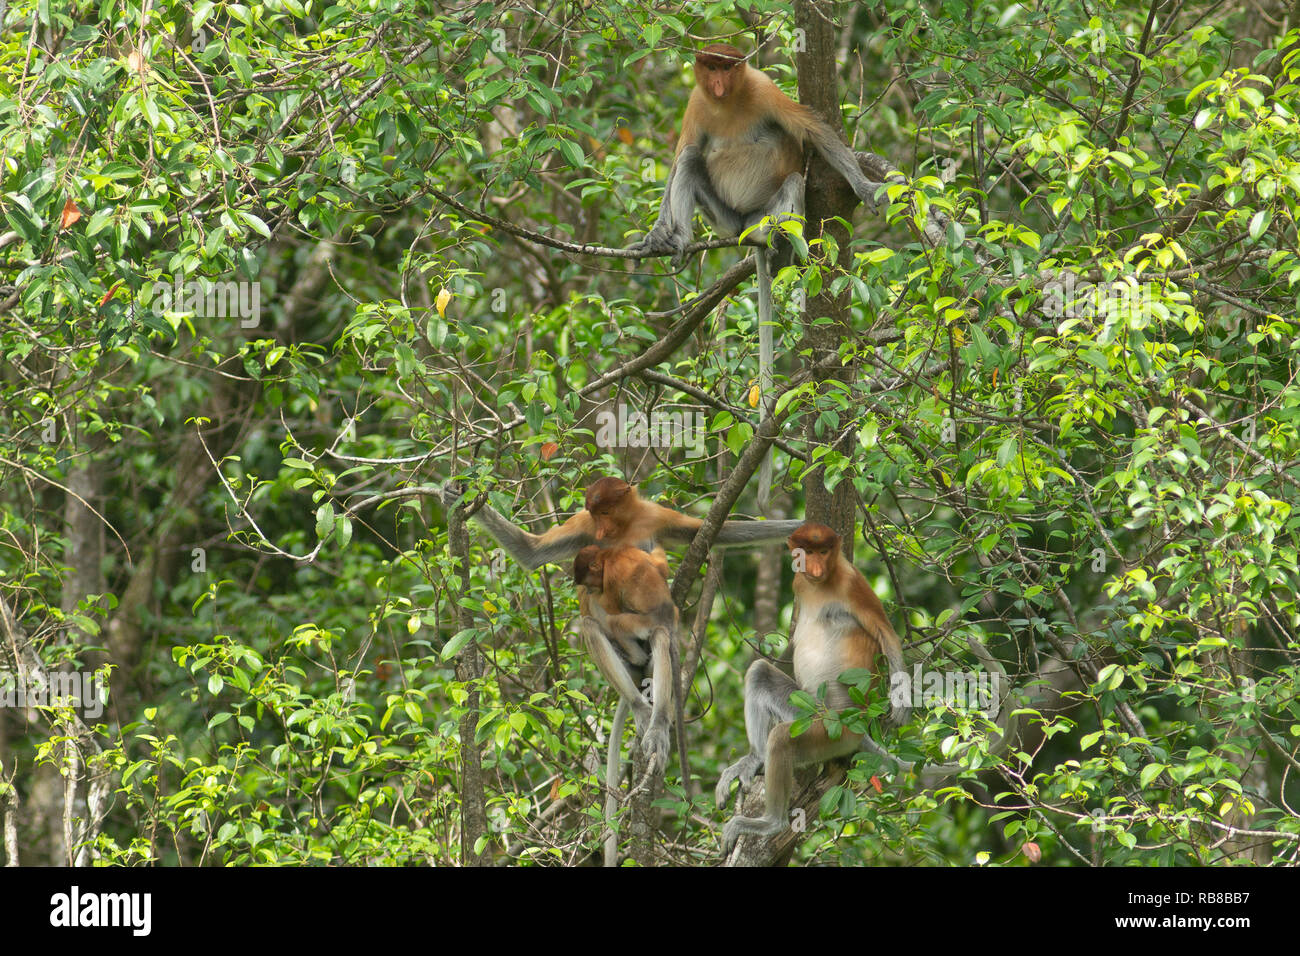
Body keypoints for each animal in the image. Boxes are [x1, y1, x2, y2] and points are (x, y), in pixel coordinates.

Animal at [625, 45, 891, 508]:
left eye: (728, 68)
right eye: (710, 68)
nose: (717, 84)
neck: (728, 103)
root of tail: (747, 225)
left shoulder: (764, 90)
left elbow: (814, 130)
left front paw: (864, 186)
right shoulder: (697, 105)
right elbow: (682, 154)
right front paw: (656, 235)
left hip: (763, 207)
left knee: (792, 179)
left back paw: (775, 243)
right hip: (725, 219)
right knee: (691, 161)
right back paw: (678, 241)